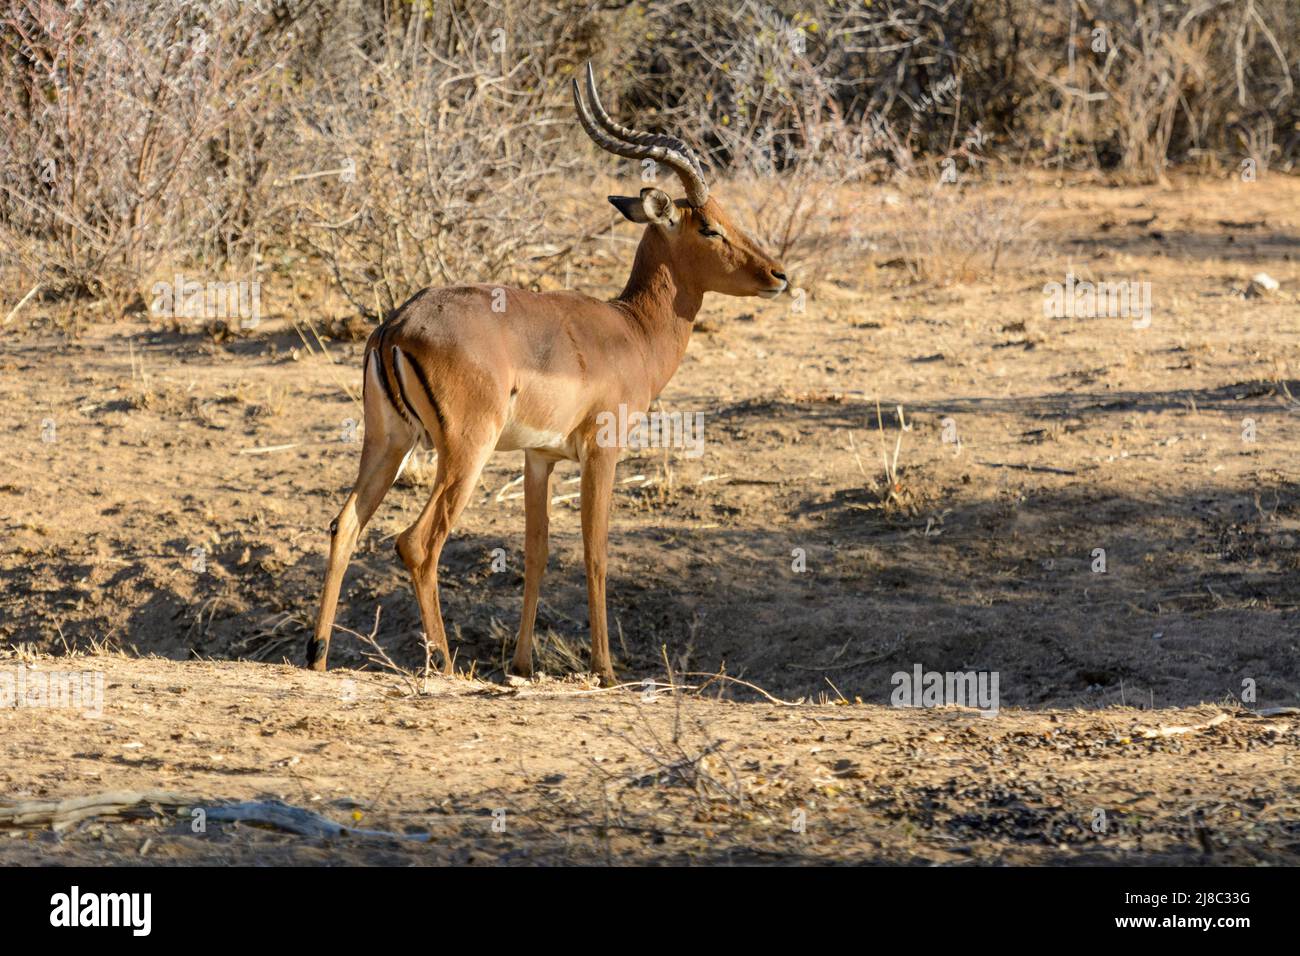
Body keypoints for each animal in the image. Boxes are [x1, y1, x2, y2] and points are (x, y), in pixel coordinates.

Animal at [307, 63, 787, 684]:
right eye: (709, 227)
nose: (778, 274)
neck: (632, 329)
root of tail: (397, 325)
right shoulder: (602, 452)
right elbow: (595, 552)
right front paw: (605, 671)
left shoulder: (539, 459)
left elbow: (536, 553)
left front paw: (521, 662)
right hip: (465, 453)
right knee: (417, 542)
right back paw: (445, 664)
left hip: (388, 443)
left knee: (344, 525)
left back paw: (317, 654)